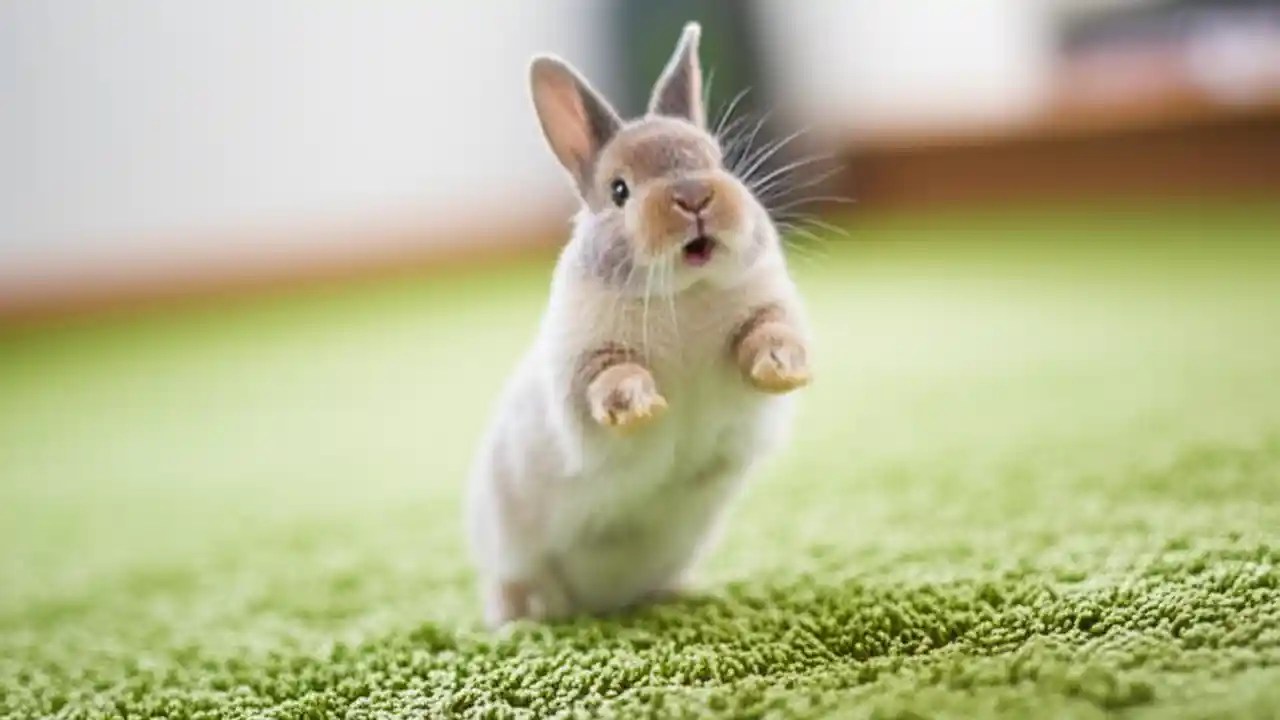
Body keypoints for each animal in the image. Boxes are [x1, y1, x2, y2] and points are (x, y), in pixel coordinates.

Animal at [466, 22, 812, 628]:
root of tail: (602, 600)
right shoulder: (585, 361)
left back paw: (674, 593)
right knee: (514, 588)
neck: (683, 294)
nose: (695, 196)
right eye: (620, 190)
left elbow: (765, 334)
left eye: (717, 160)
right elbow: (608, 379)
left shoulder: (764, 308)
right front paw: (639, 403)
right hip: (510, 554)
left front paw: (782, 366)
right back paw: (520, 618)